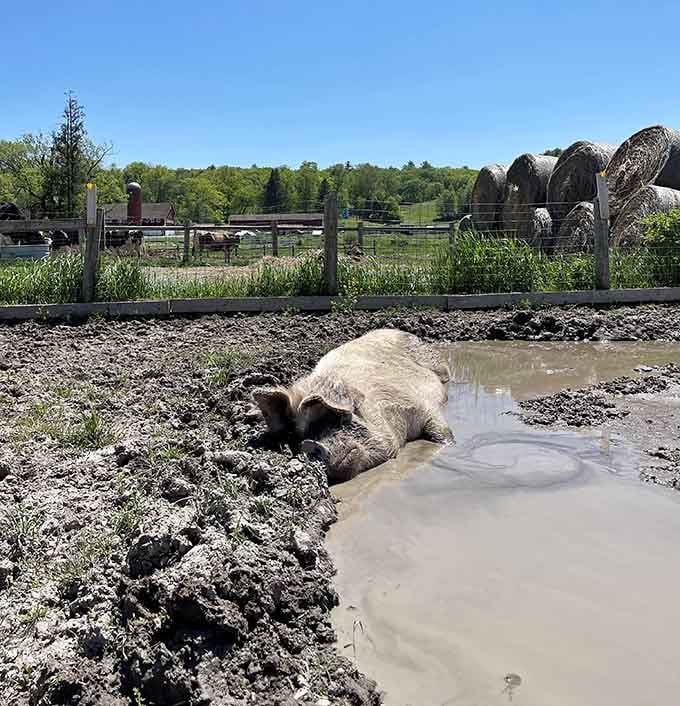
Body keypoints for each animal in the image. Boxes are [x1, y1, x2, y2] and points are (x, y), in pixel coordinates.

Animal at [252, 329, 452, 481]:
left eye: (330, 415)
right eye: (297, 437)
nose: (309, 445)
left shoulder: (421, 404)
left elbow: (441, 432)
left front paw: (449, 443)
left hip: (438, 365)